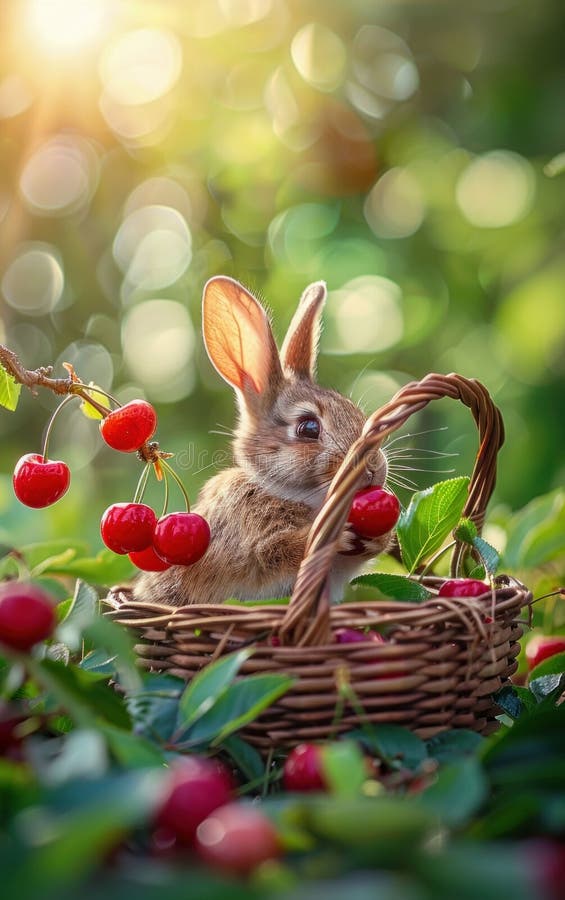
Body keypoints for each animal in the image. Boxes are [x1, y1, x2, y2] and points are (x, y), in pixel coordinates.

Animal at [133, 275, 393, 607]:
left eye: (358, 415)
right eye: (309, 428)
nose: (375, 468)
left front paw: (377, 539)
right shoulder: (253, 545)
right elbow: (272, 551)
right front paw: (337, 537)